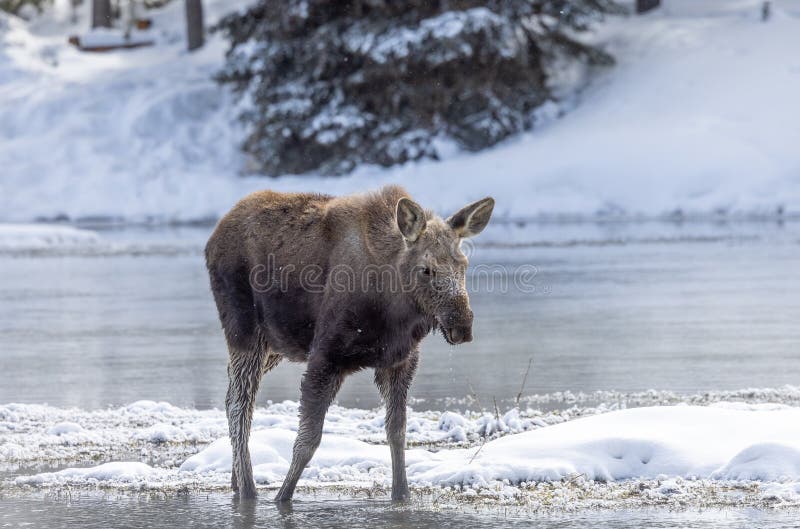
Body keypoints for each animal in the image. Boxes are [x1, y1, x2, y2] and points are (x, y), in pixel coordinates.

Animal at [205, 185, 494, 502]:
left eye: (463, 264)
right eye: (426, 269)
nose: (462, 324)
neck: (391, 306)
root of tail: (213, 238)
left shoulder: (400, 360)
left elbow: (397, 432)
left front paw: (401, 495)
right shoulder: (326, 355)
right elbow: (308, 441)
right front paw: (282, 498)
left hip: (273, 346)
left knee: (229, 394)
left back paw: (236, 481)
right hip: (244, 331)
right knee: (239, 404)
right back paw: (248, 488)